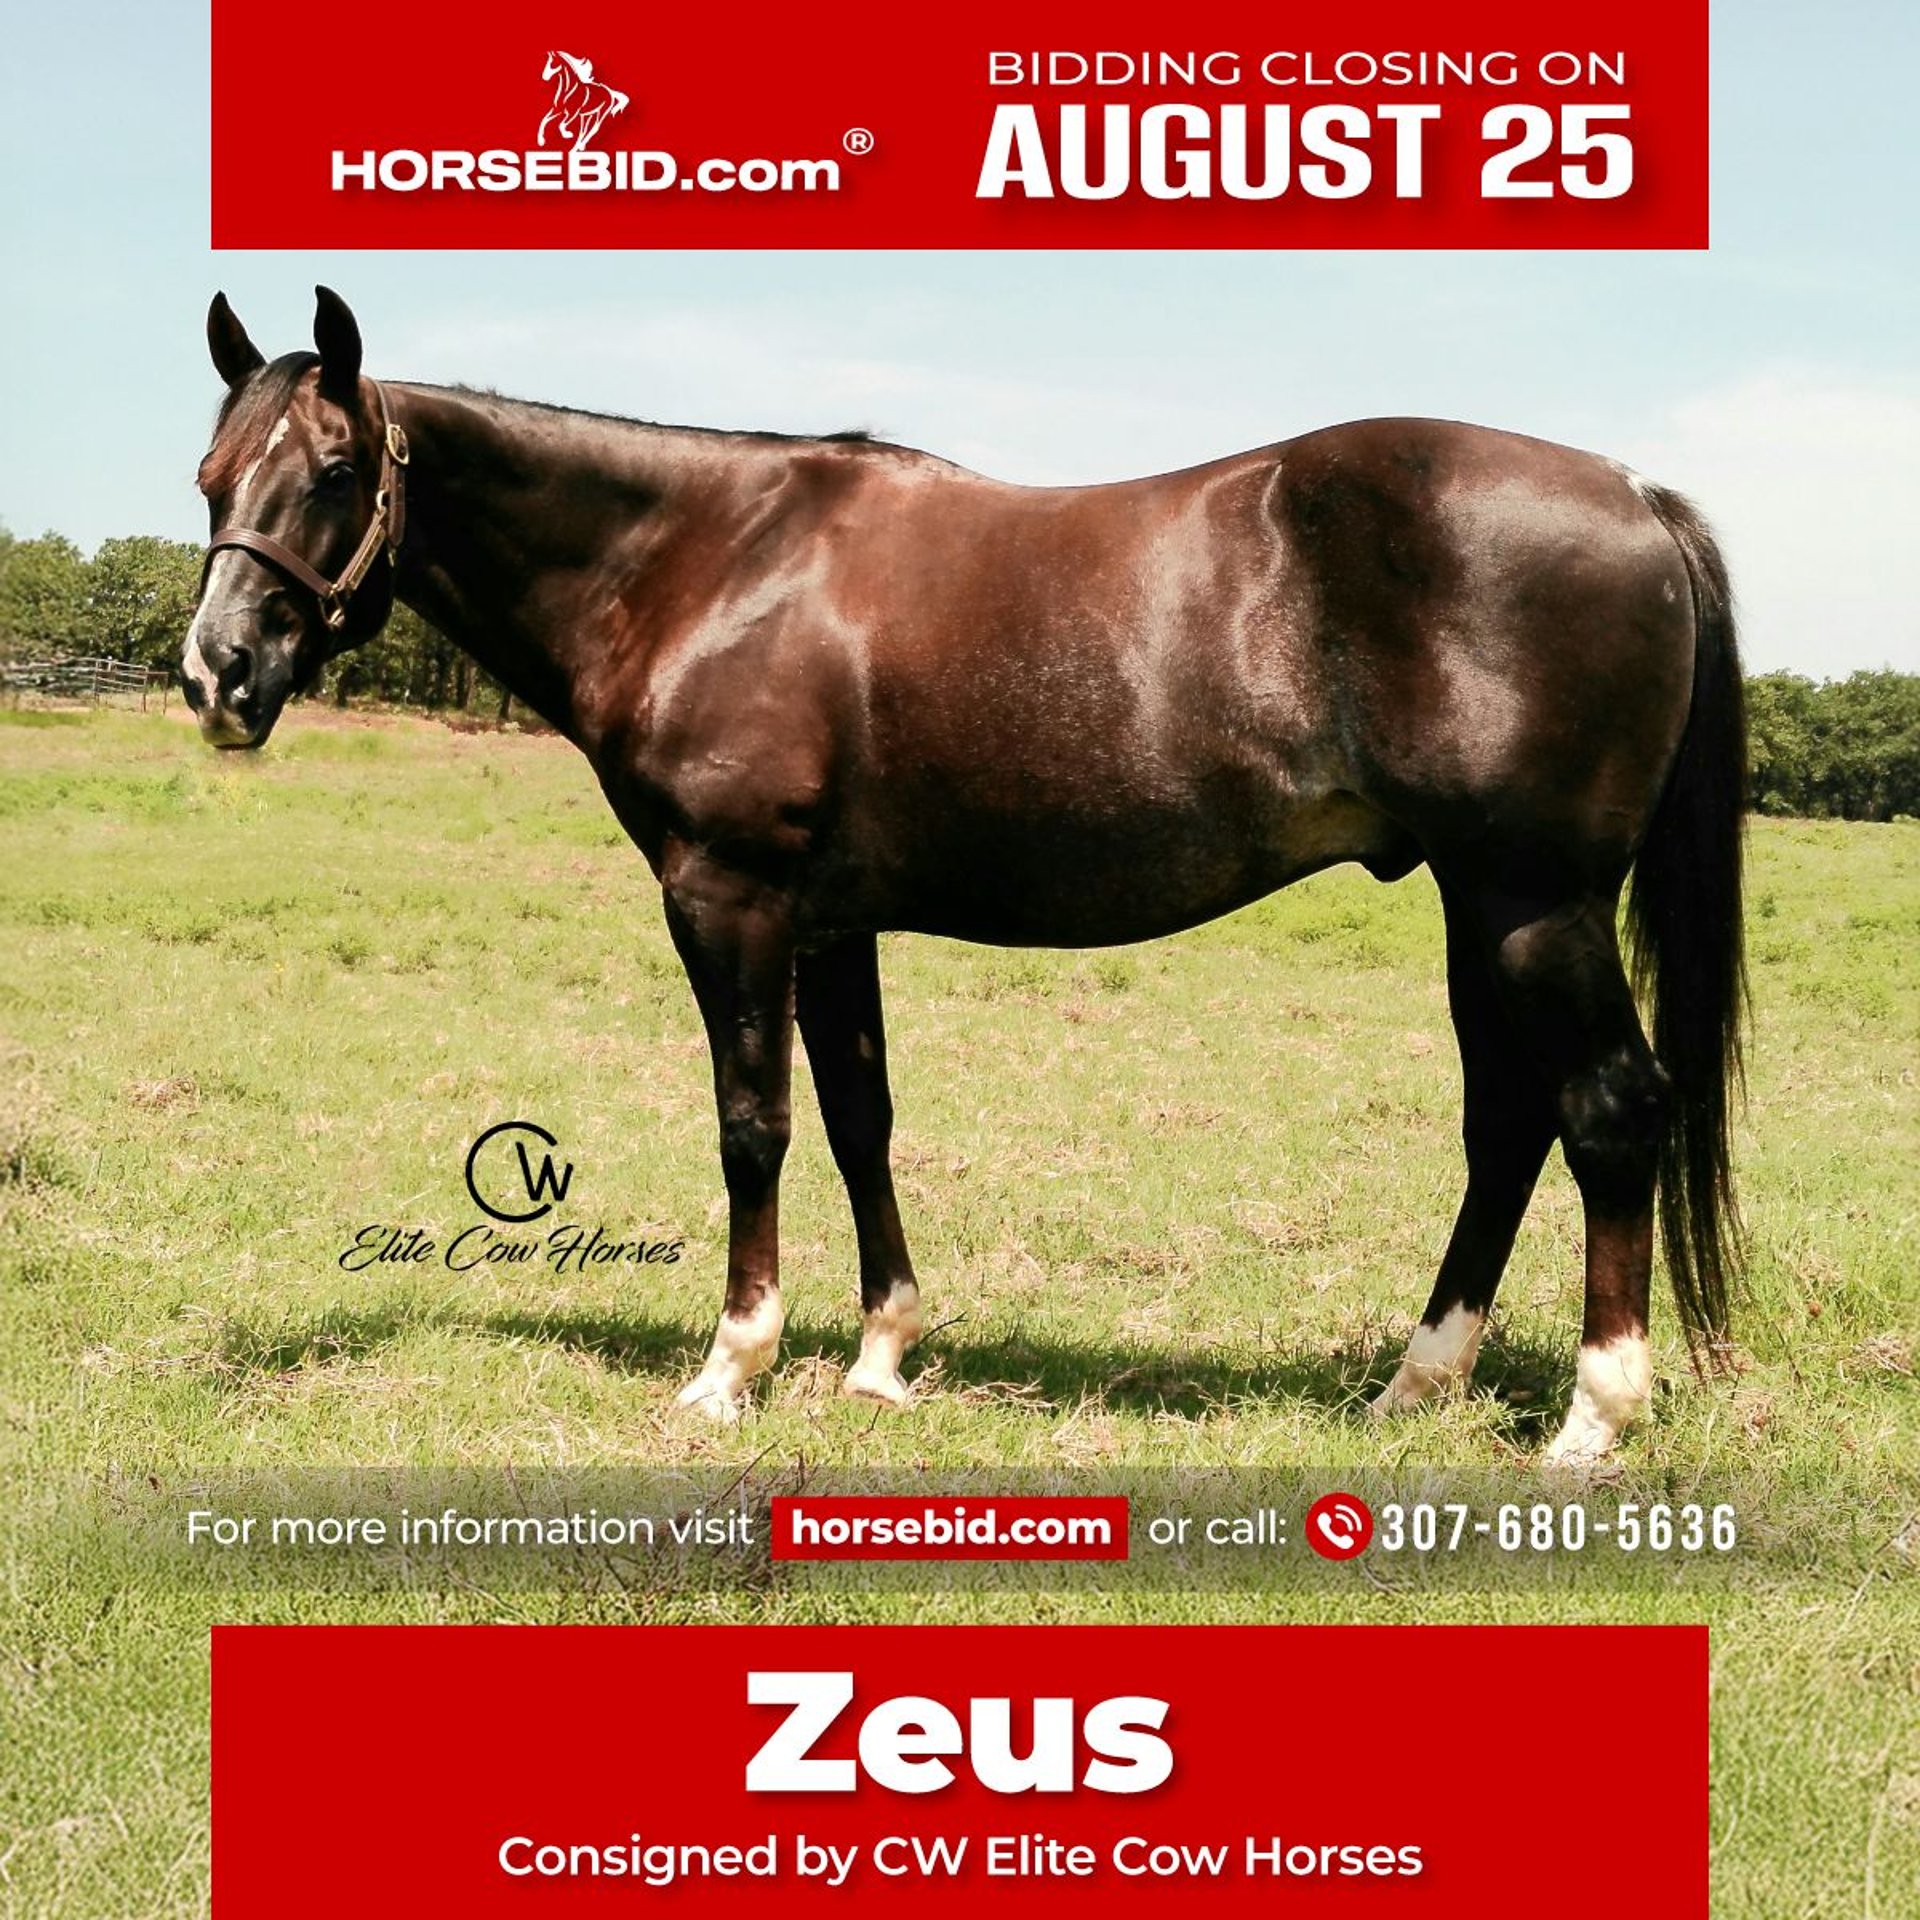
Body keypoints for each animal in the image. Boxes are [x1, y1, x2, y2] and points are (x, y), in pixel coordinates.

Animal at [182, 288, 1747, 1465]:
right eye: (210, 480)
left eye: (335, 475)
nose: (219, 673)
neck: (708, 562)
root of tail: (1634, 494)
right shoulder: (833, 923)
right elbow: (860, 1117)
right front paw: (882, 1355)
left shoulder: (730, 899)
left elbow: (753, 1124)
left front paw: (732, 1368)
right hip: (1481, 908)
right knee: (1509, 1123)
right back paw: (1414, 1383)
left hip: (1533, 903)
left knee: (1609, 1112)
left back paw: (1593, 1419)